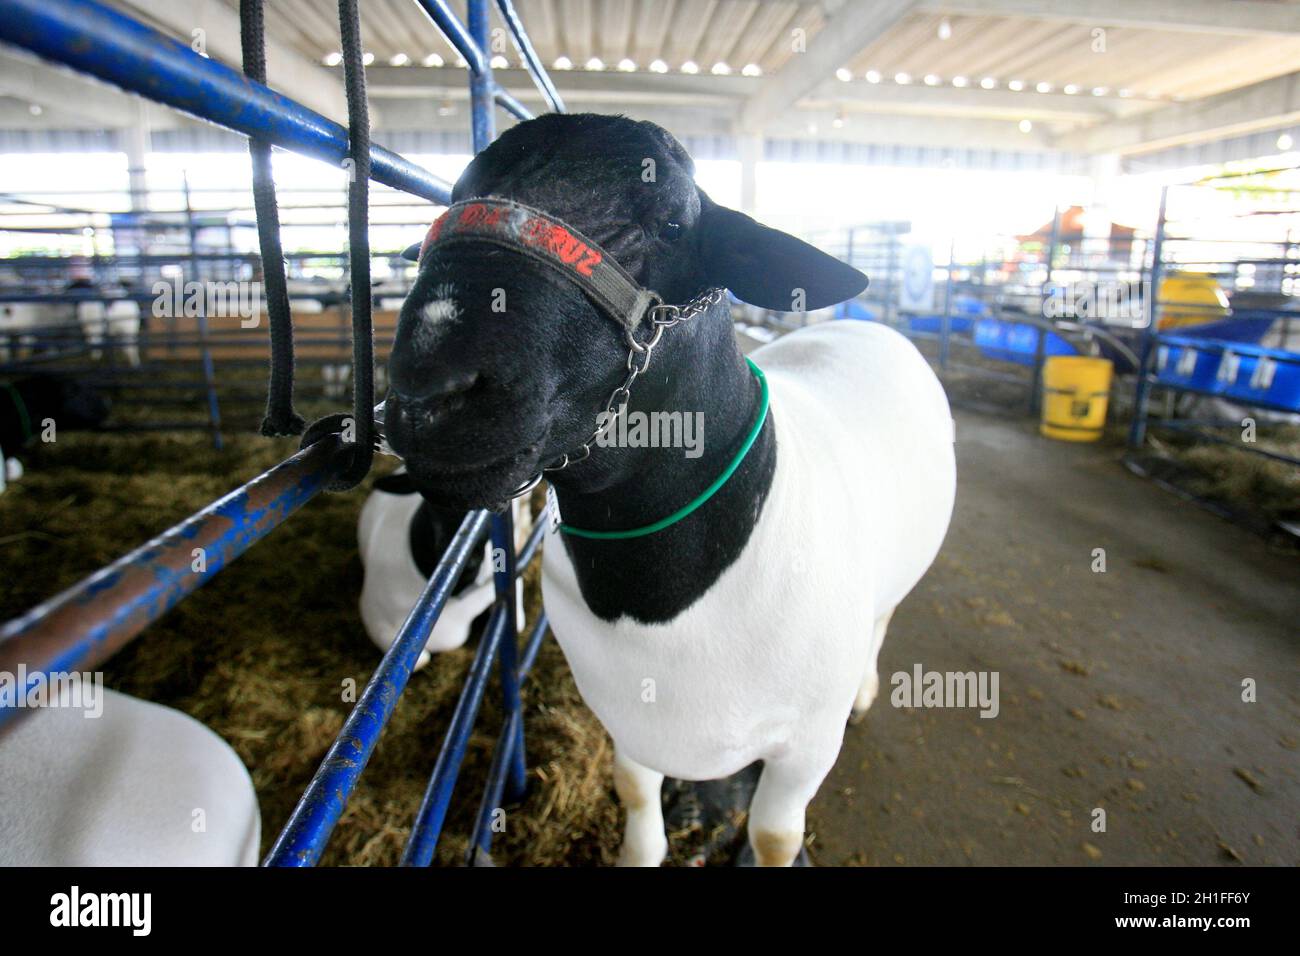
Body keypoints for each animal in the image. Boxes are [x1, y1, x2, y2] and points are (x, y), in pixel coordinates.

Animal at [382, 113, 956, 866]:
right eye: (455, 196)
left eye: (674, 224)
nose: (426, 391)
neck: (657, 592)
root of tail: (864, 327)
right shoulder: (625, 714)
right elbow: (632, 787)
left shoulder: (804, 746)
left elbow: (774, 836)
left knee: (884, 620)